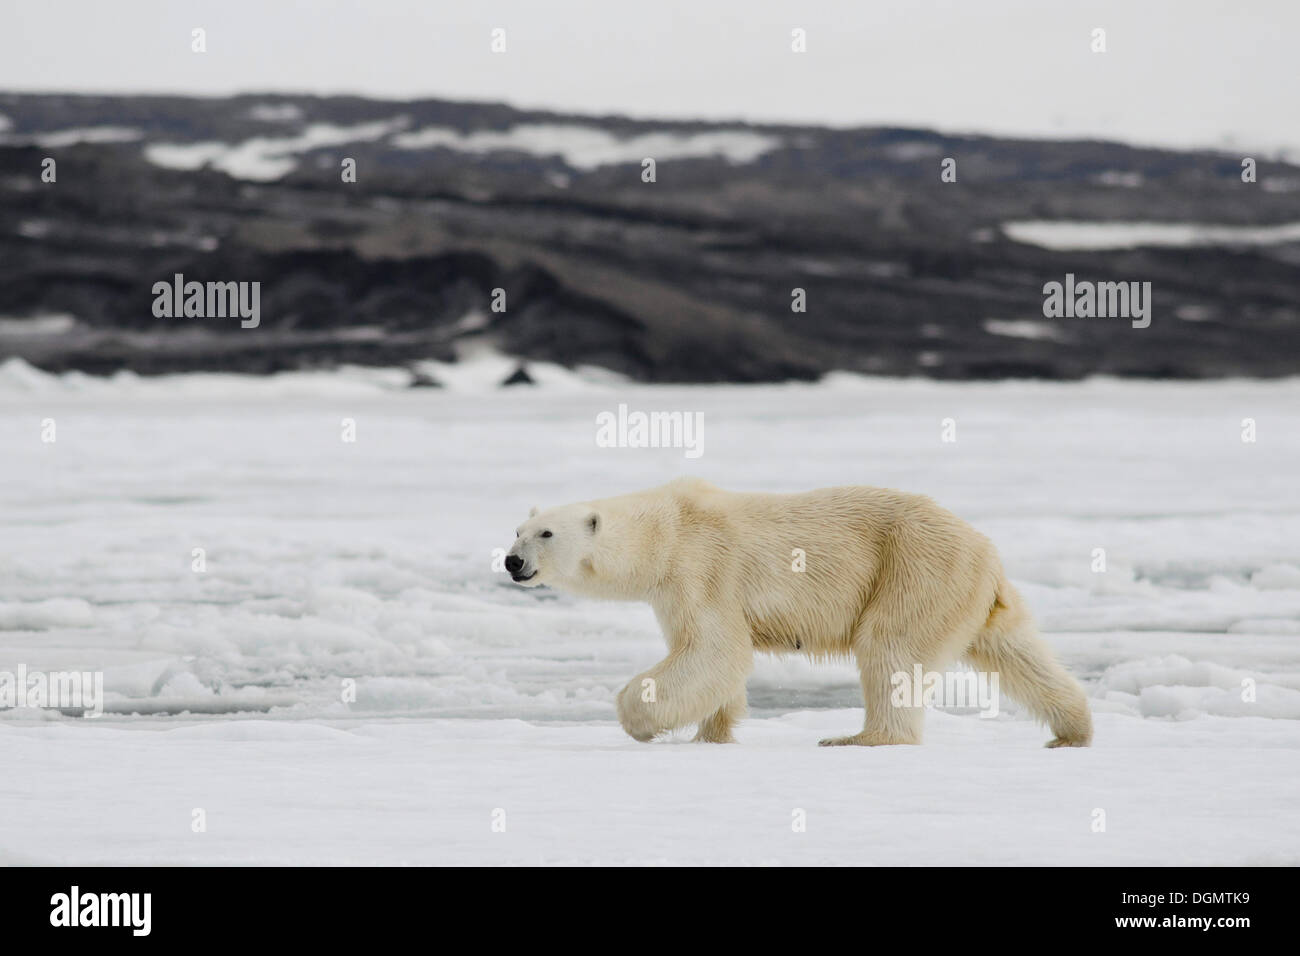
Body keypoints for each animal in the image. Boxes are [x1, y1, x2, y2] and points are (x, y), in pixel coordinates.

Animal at [505, 478, 1092, 748]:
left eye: (546, 533)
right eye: (517, 529)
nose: (512, 562)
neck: (664, 532)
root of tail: (985, 550)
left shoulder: (700, 567)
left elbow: (713, 649)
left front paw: (640, 720)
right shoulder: (672, 589)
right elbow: (715, 661)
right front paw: (711, 735)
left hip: (914, 567)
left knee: (891, 649)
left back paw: (858, 738)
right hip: (968, 592)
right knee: (1016, 650)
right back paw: (1072, 729)